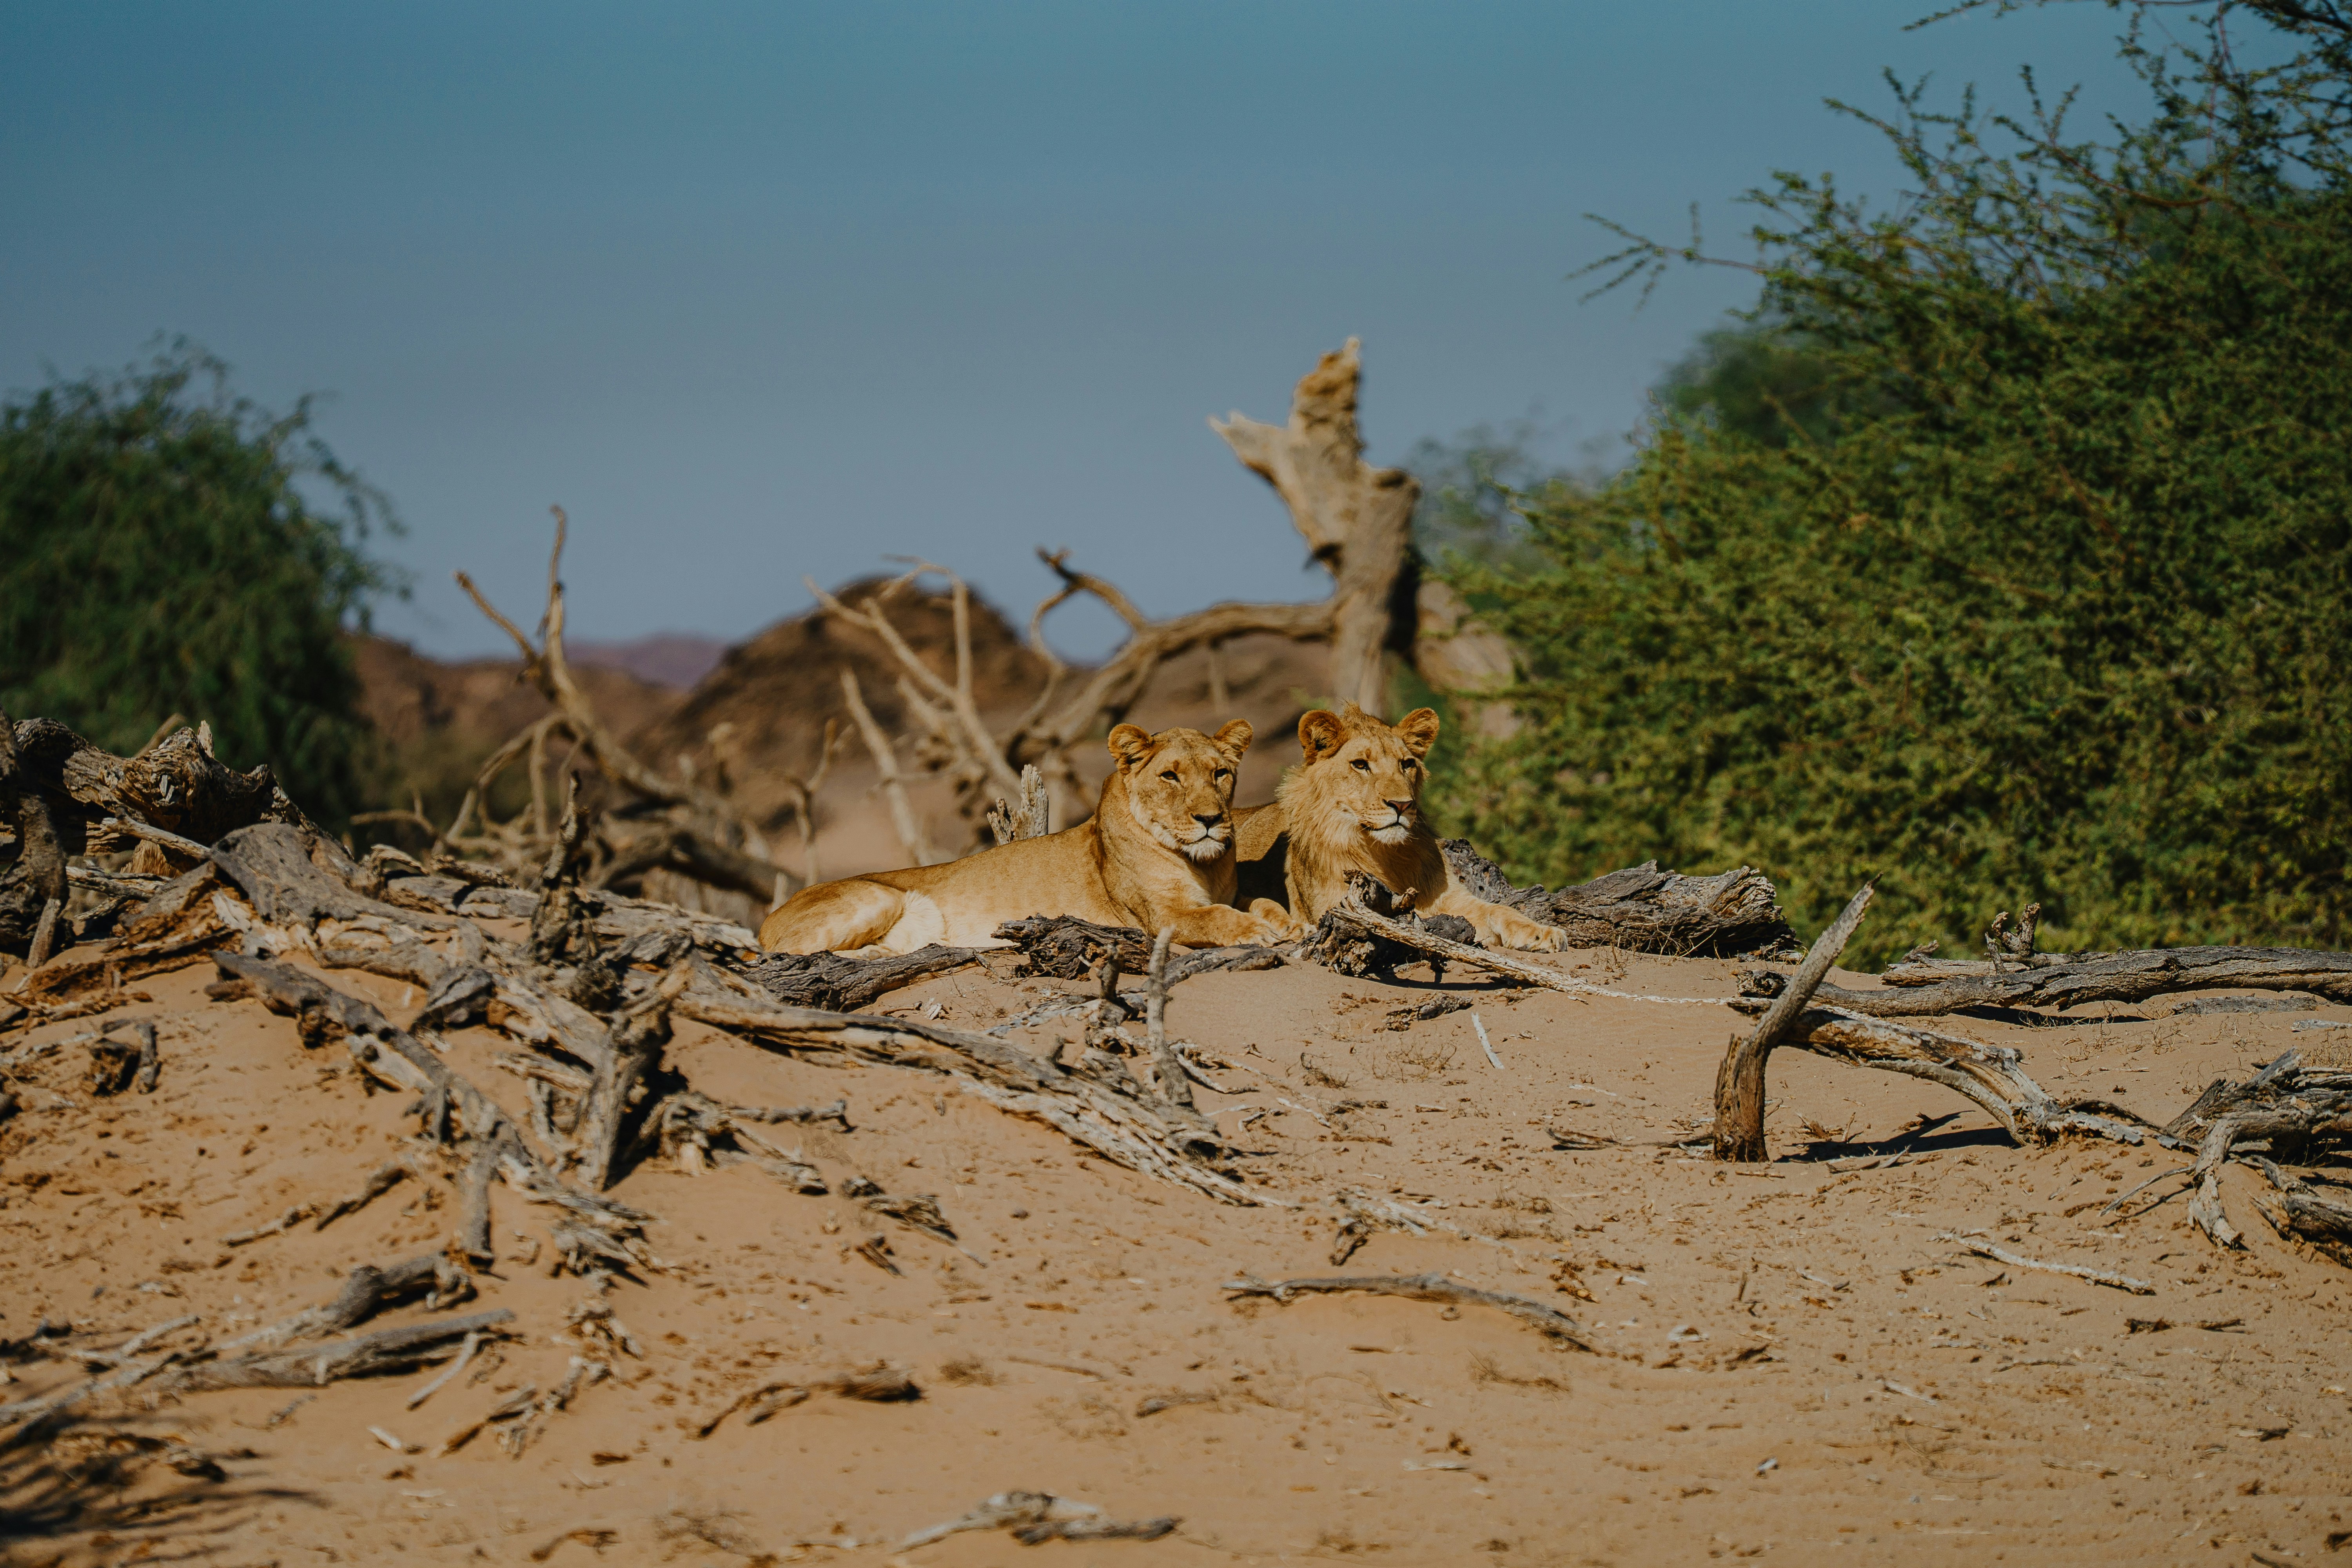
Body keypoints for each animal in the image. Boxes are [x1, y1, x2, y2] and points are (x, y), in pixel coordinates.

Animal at [756, 719, 1300, 956]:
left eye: (1220, 774)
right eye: (1171, 776)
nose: (1210, 819)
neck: (1203, 860)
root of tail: (766, 918)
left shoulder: (1232, 891)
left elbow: (1261, 902)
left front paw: (1289, 925)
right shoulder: (1162, 916)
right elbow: (1216, 917)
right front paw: (1259, 933)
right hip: (876, 897)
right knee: (784, 954)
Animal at [1232, 702, 1567, 951]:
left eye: (1407, 764)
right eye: (1361, 765)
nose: (1402, 805)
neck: (1386, 855)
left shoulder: (1451, 898)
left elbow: (1499, 909)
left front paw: (1543, 932)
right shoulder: (1337, 907)